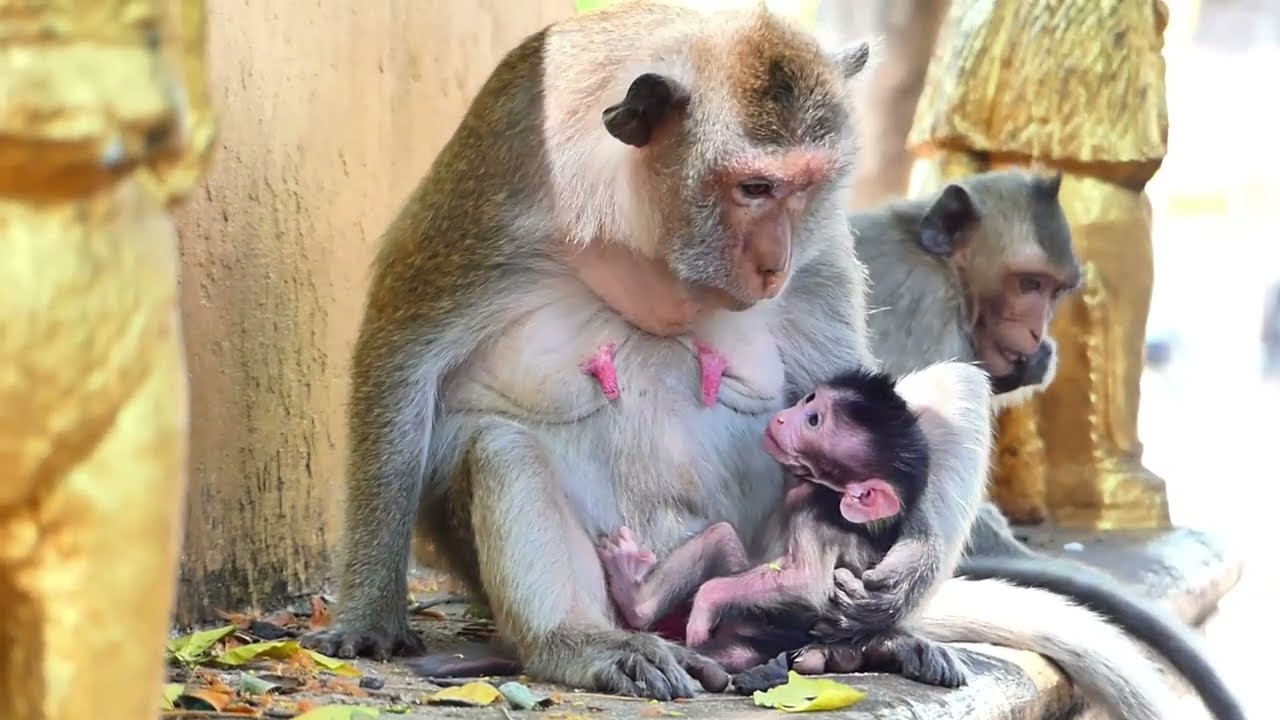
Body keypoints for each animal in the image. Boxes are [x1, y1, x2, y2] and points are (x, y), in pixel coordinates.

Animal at [596, 366, 971, 690]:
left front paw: (705, 602)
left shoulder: (816, 518)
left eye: (814, 421)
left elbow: (807, 584)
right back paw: (637, 597)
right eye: (809, 401)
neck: (828, 493)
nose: (781, 417)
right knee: (721, 537)